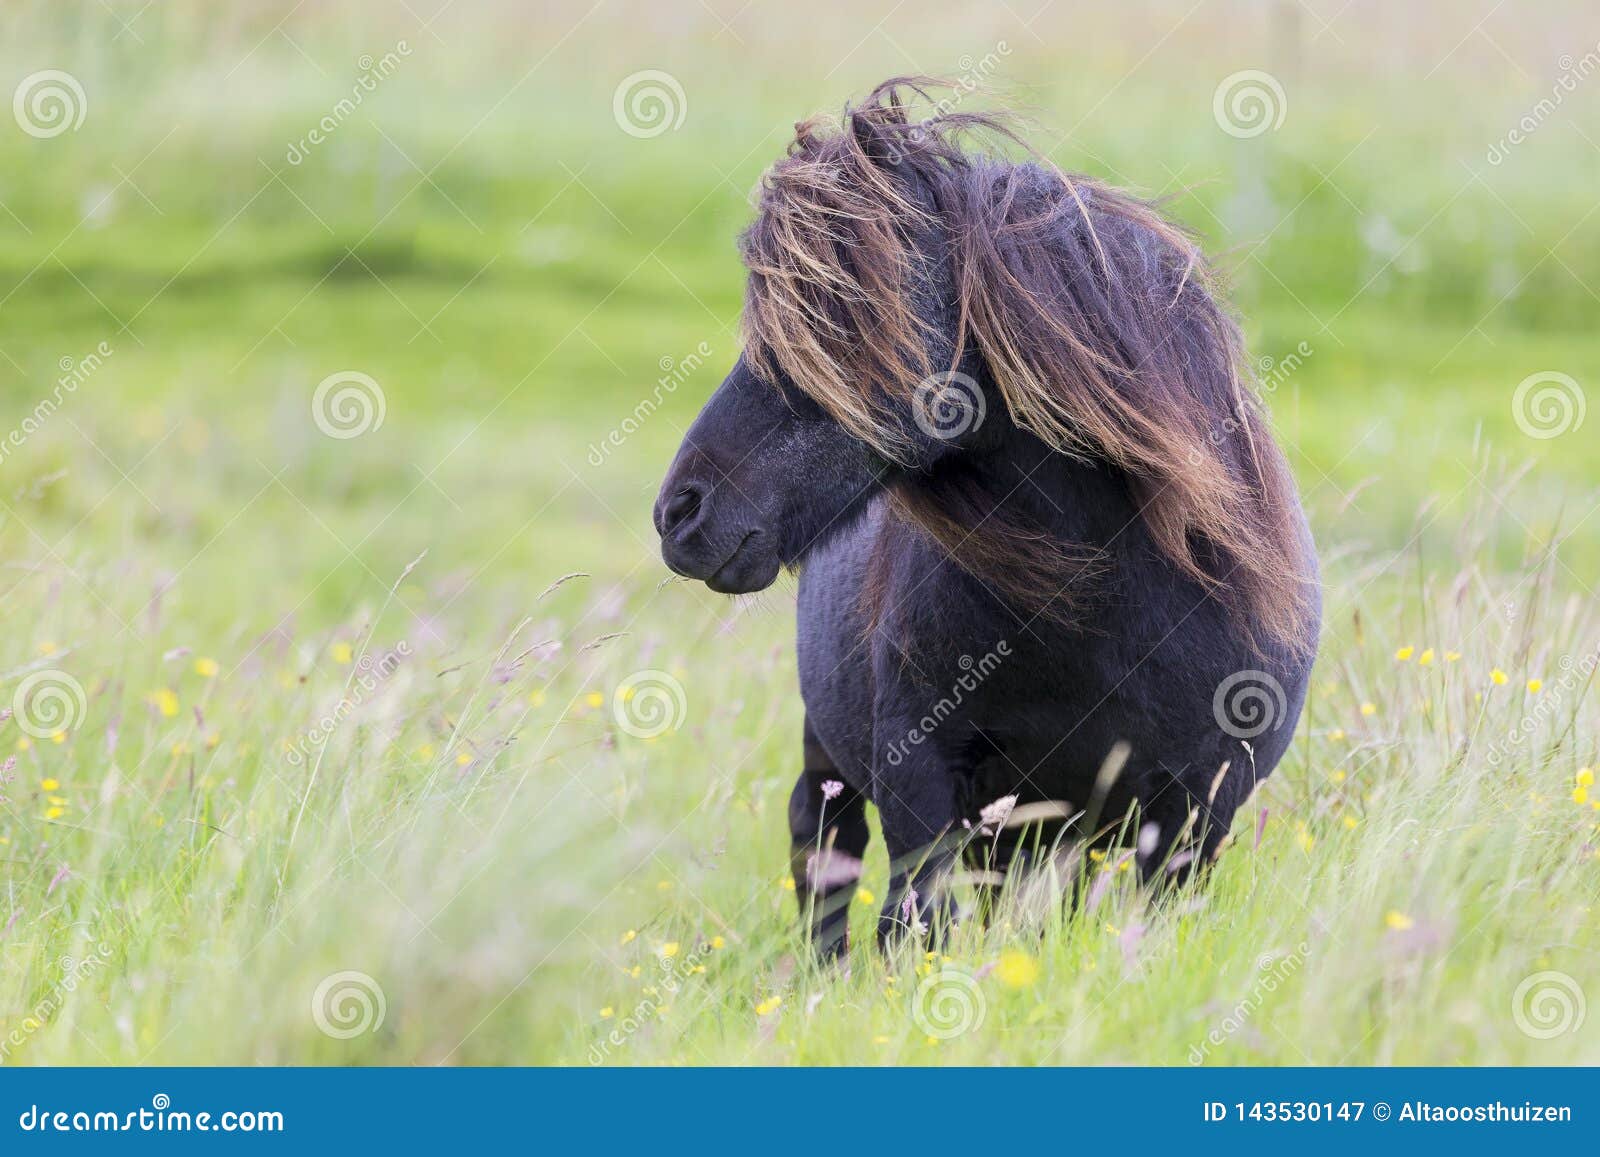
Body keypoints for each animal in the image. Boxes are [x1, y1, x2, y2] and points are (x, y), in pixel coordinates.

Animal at [653, 78, 1320, 957]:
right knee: (824, 847)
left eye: (840, 311)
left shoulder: (1194, 816)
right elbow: (913, 925)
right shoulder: (923, 778)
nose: (680, 512)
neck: (1111, 603)